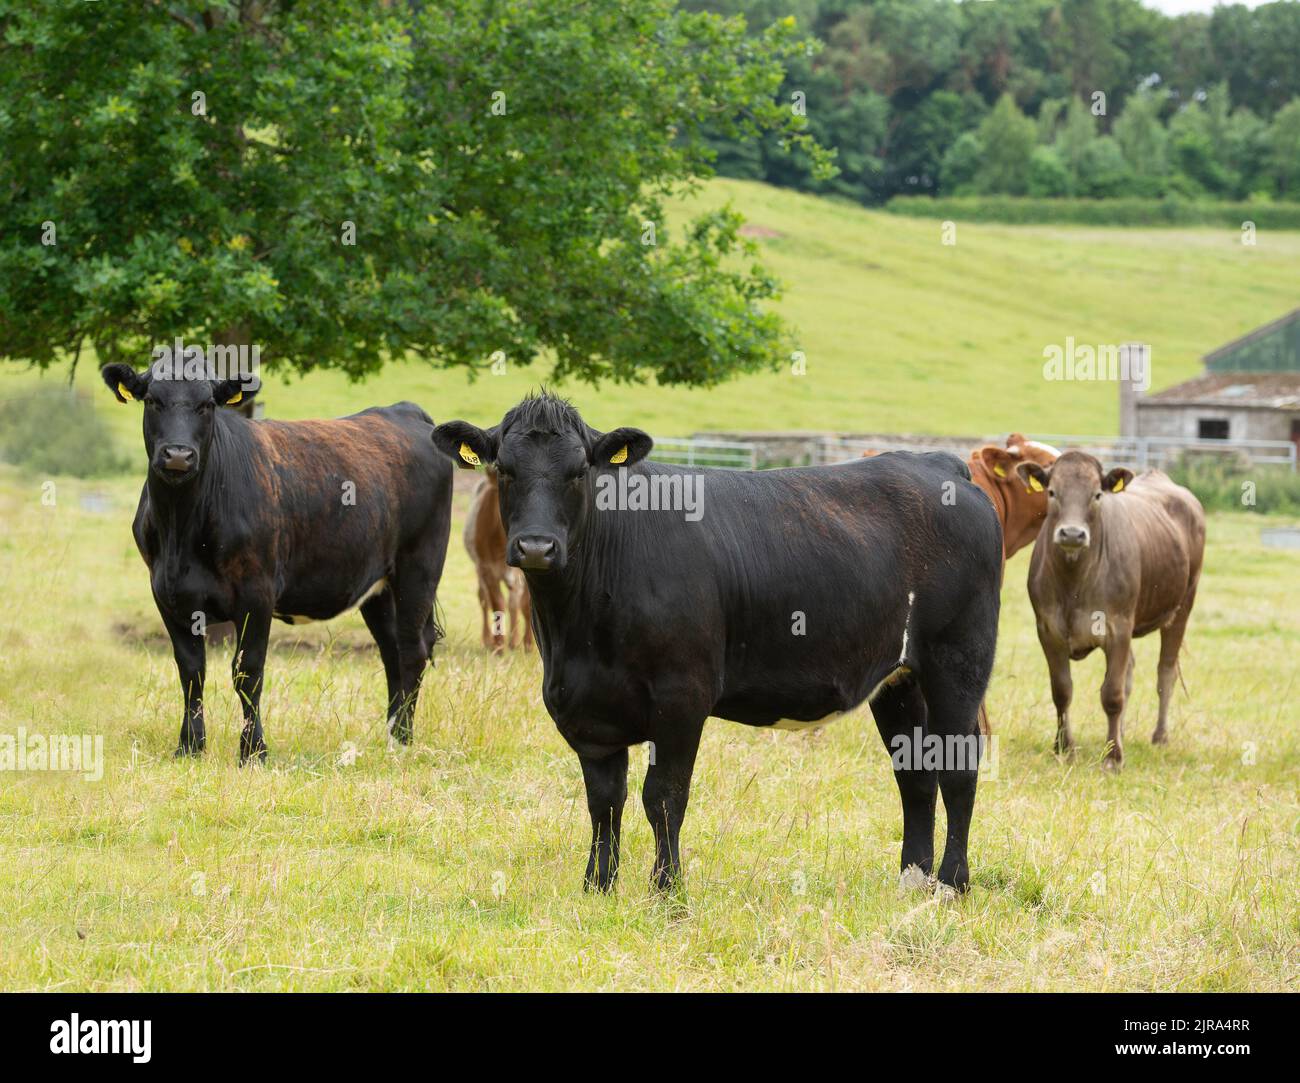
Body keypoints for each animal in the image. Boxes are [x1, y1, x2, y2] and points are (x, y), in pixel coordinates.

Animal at [101, 362, 453, 763]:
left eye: (207, 404)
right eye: (152, 400)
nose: (178, 455)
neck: (182, 527)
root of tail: (403, 411)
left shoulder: (257, 592)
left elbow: (247, 671)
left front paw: (253, 751)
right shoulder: (167, 593)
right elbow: (191, 670)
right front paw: (189, 748)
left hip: (419, 567)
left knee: (412, 650)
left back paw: (403, 741)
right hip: (377, 585)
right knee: (392, 650)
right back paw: (391, 734)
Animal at [464, 466, 533, 652]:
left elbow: (524, 604)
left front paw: (527, 645)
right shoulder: (486, 568)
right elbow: (497, 602)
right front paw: (499, 647)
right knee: (484, 599)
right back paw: (489, 640)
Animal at [1017, 451, 1205, 768]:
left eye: (1097, 495)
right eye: (1052, 492)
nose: (1072, 533)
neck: (1074, 582)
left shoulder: (1118, 628)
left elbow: (1112, 694)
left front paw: (1113, 757)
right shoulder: (1048, 630)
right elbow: (1062, 691)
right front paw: (1064, 747)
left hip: (1182, 606)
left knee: (1164, 672)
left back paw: (1159, 736)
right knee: (1129, 673)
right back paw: (1121, 733)